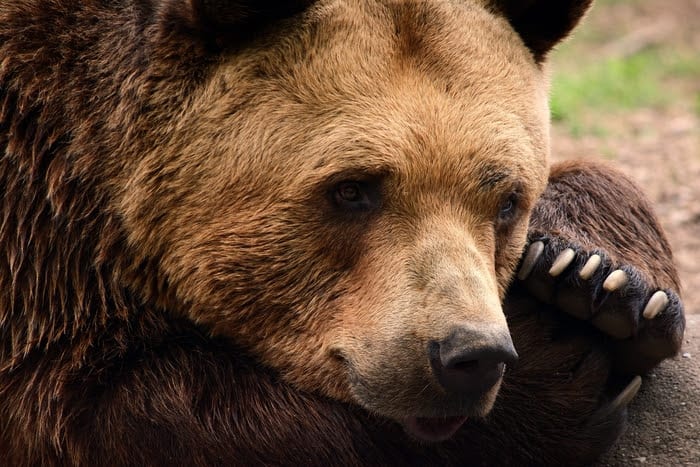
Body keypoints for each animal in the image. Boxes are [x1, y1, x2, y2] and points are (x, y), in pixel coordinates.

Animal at [0, 0, 687, 466]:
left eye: (507, 201)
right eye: (351, 189)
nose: (472, 356)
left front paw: (599, 282)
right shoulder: (38, 249)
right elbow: (104, 407)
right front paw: (555, 368)